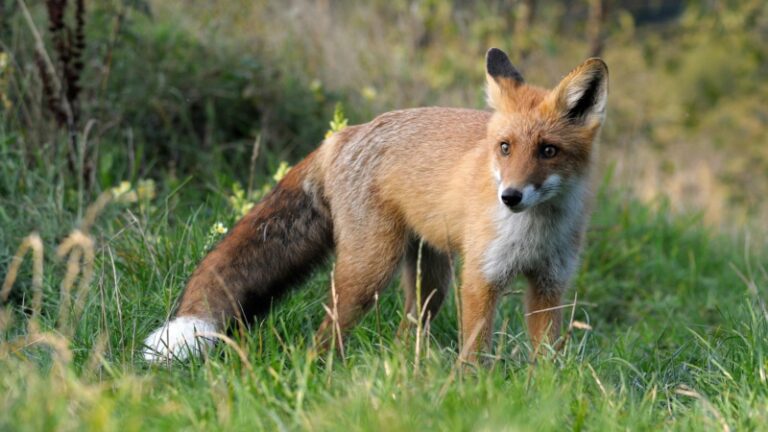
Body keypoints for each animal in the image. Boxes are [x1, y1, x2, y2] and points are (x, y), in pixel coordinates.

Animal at [143, 48, 608, 363]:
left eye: (548, 150)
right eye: (505, 148)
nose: (510, 197)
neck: (534, 233)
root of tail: (343, 135)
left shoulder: (549, 284)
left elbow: (547, 358)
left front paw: (543, 395)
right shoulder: (481, 277)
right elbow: (473, 354)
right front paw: (470, 390)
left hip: (430, 283)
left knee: (407, 332)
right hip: (369, 273)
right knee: (325, 332)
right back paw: (320, 373)